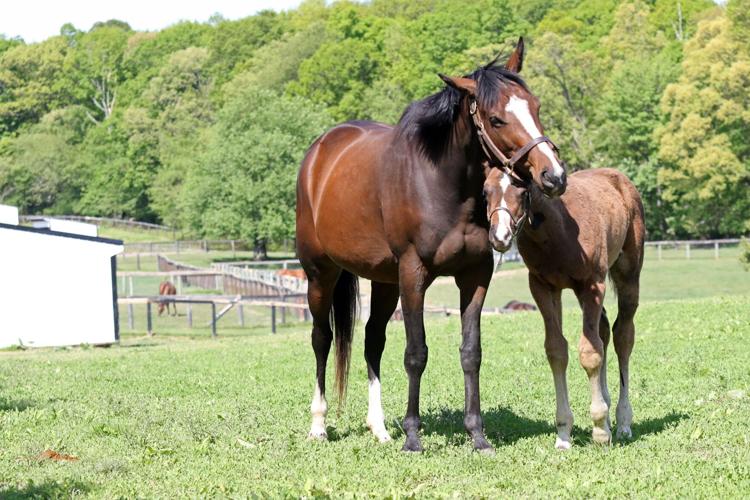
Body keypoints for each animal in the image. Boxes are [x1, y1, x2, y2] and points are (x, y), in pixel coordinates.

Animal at [296, 38, 567, 453]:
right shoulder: (414, 274)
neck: (443, 186)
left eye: (535, 107)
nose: (554, 175)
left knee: (372, 340)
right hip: (320, 273)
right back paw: (319, 425)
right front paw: (413, 436)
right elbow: (416, 353)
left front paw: (477, 434)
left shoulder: (475, 276)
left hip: (383, 281)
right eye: (496, 119)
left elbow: (471, 352)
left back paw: (379, 428)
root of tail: (319, 152)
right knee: (321, 339)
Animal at [483, 167, 644, 448]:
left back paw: (622, 422)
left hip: (628, 275)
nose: (500, 236)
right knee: (603, 330)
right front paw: (564, 434)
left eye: (522, 192)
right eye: (485, 191)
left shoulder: (592, 285)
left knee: (623, 336)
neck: (558, 232)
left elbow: (590, 352)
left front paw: (599, 430)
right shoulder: (543, 287)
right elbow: (557, 350)